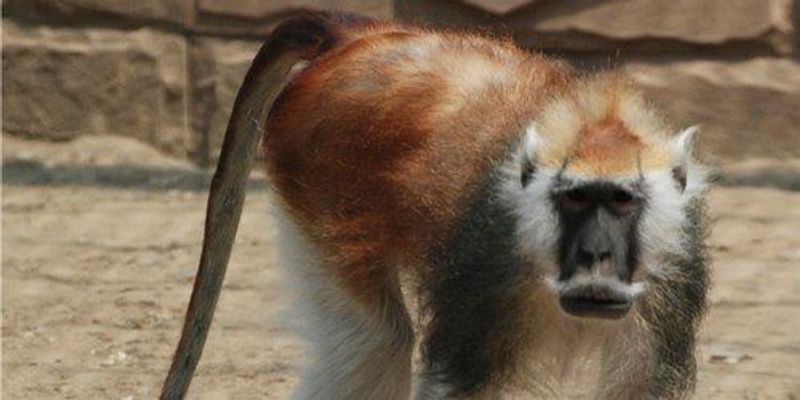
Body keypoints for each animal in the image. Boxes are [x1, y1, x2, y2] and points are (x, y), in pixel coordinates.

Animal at [161, 11, 710, 400]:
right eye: (575, 198)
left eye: (621, 201)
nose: (597, 253)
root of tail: (358, 38)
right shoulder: (484, 273)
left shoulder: (671, 280)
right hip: (313, 172)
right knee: (375, 344)